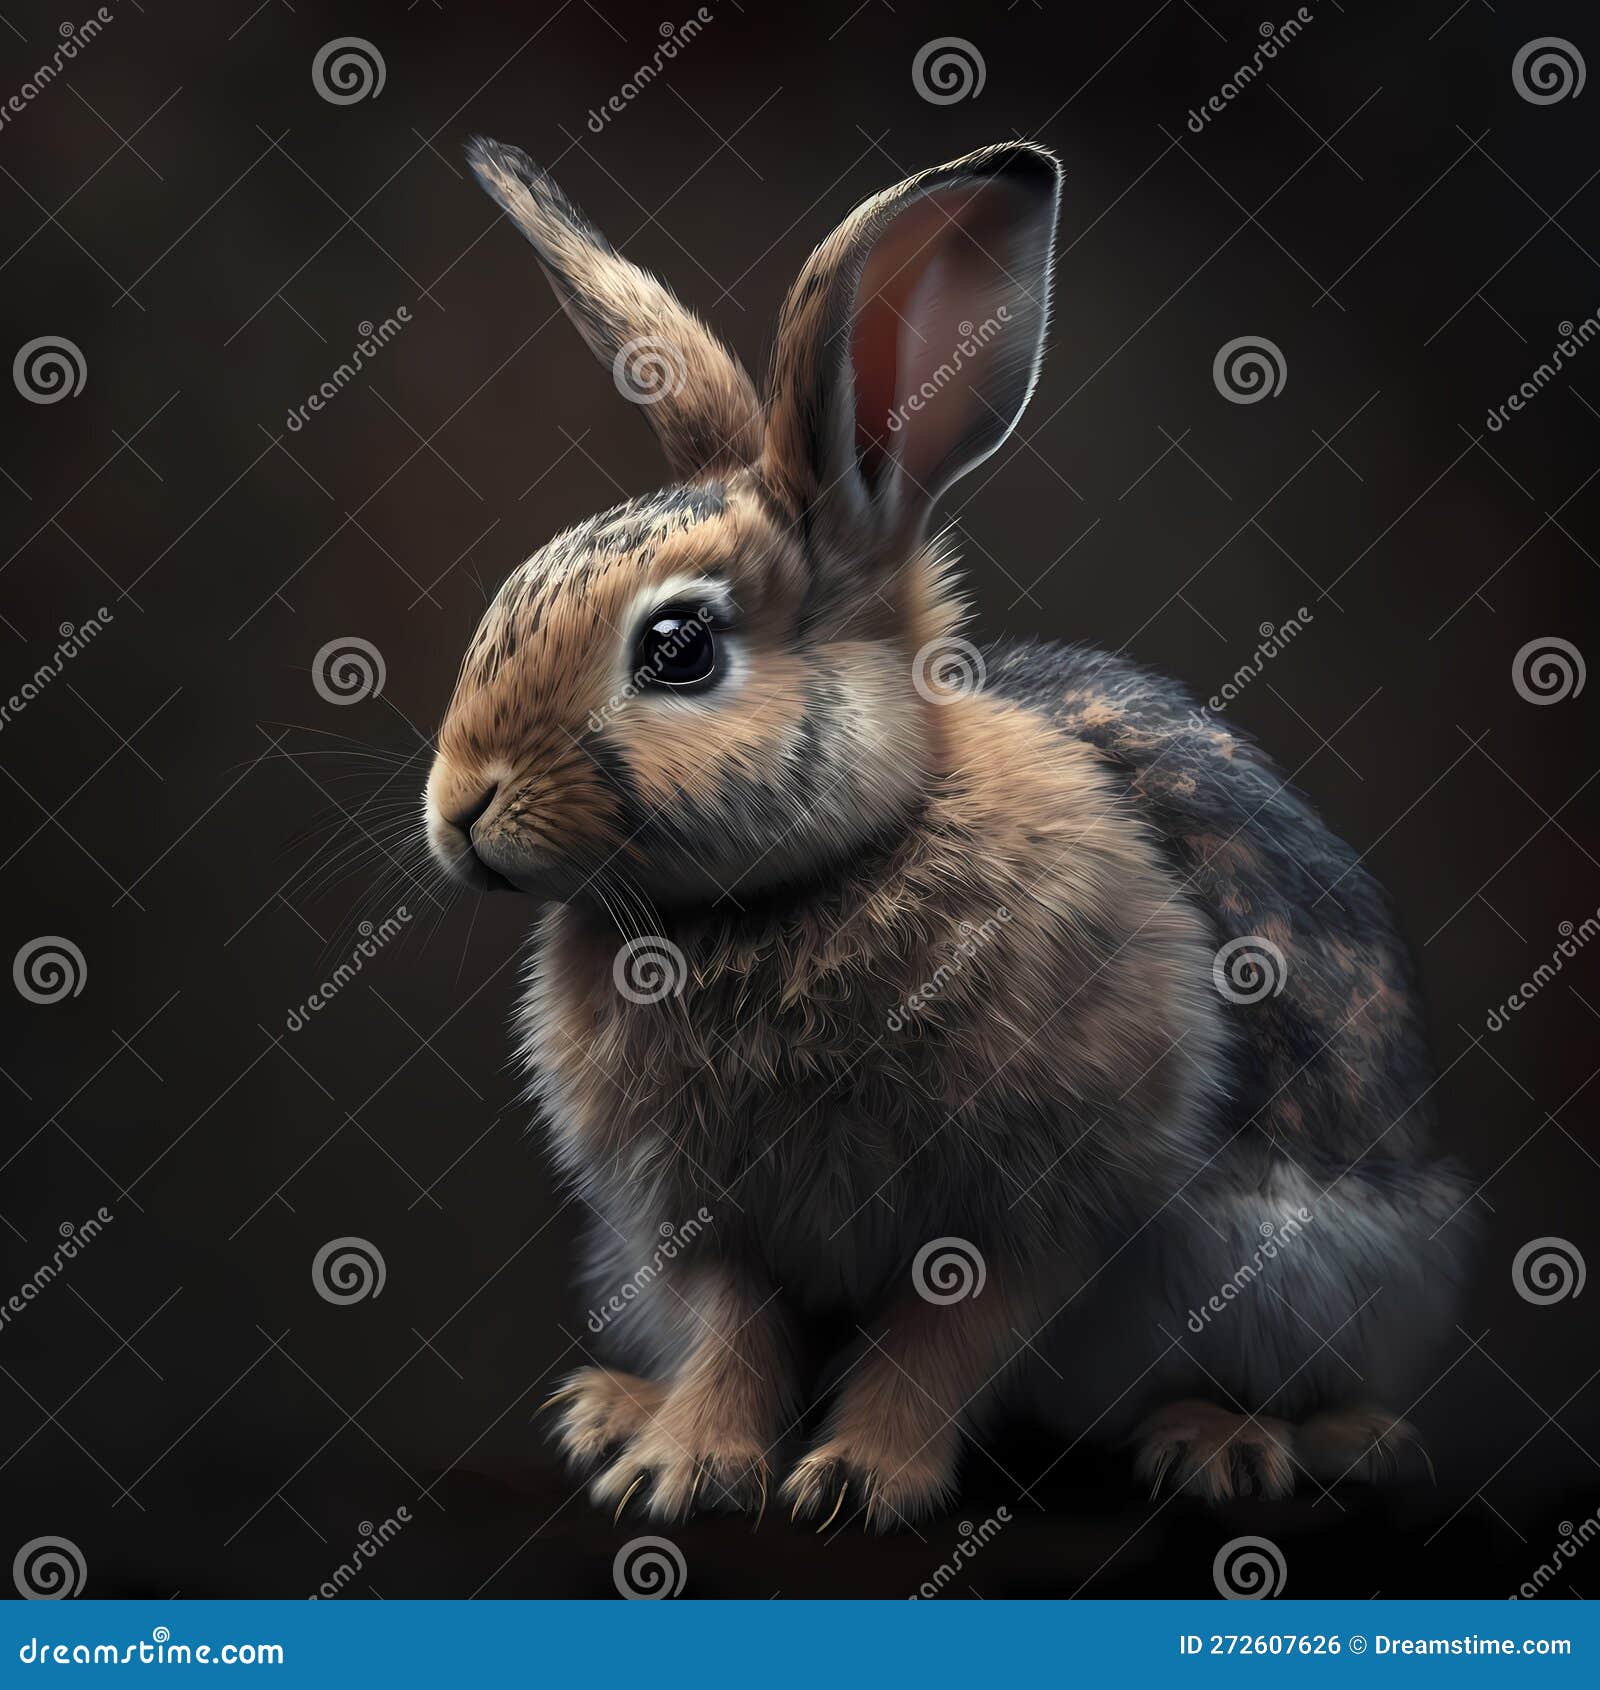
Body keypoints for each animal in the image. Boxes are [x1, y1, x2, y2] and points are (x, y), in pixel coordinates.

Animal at [422, 134, 1474, 1530]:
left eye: (678, 646)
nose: (459, 807)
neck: (803, 883)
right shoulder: (702, 1221)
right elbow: (734, 1335)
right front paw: (681, 1464)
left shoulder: (1039, 1207)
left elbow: (943, 1343)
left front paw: (856, 1483)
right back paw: (609, 1407)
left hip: (1323, 1272)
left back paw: (1242, 1445)